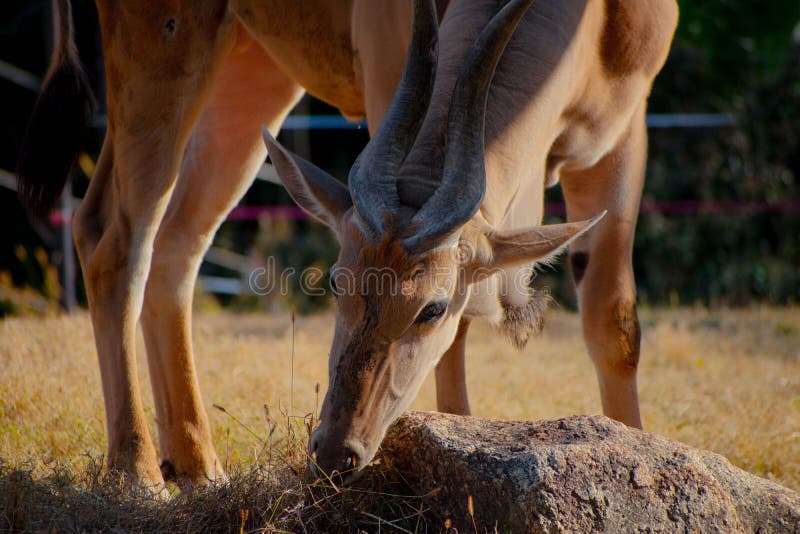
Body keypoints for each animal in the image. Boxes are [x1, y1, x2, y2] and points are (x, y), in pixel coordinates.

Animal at [17, 0, 678, 488]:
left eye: (432, 307)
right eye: (338, 282)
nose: (335, 454)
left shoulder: (623, 138)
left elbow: (614, 326)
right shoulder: (388, 72)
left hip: (252, 74)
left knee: (178, 243)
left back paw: (199, 468)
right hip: (164, 47)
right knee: (114, 235)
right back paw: (138, 474)